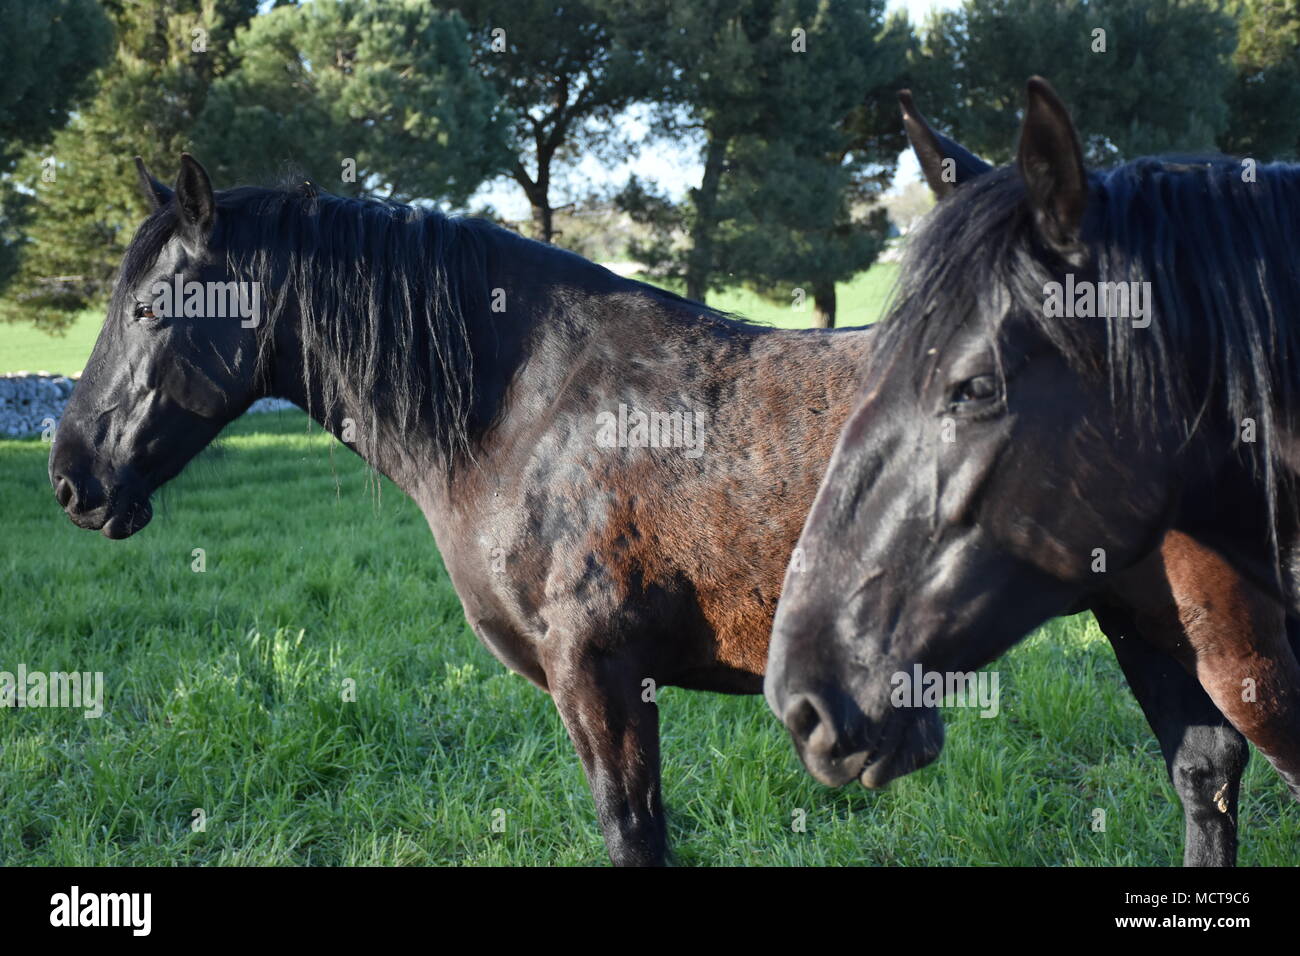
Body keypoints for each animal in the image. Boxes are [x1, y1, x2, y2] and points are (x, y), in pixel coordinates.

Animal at [48, 151, 1272, 865]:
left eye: (153, 306)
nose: (73, 477)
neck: (528, 407)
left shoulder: (599, 674)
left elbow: (633, 832)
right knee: (1203, 781)